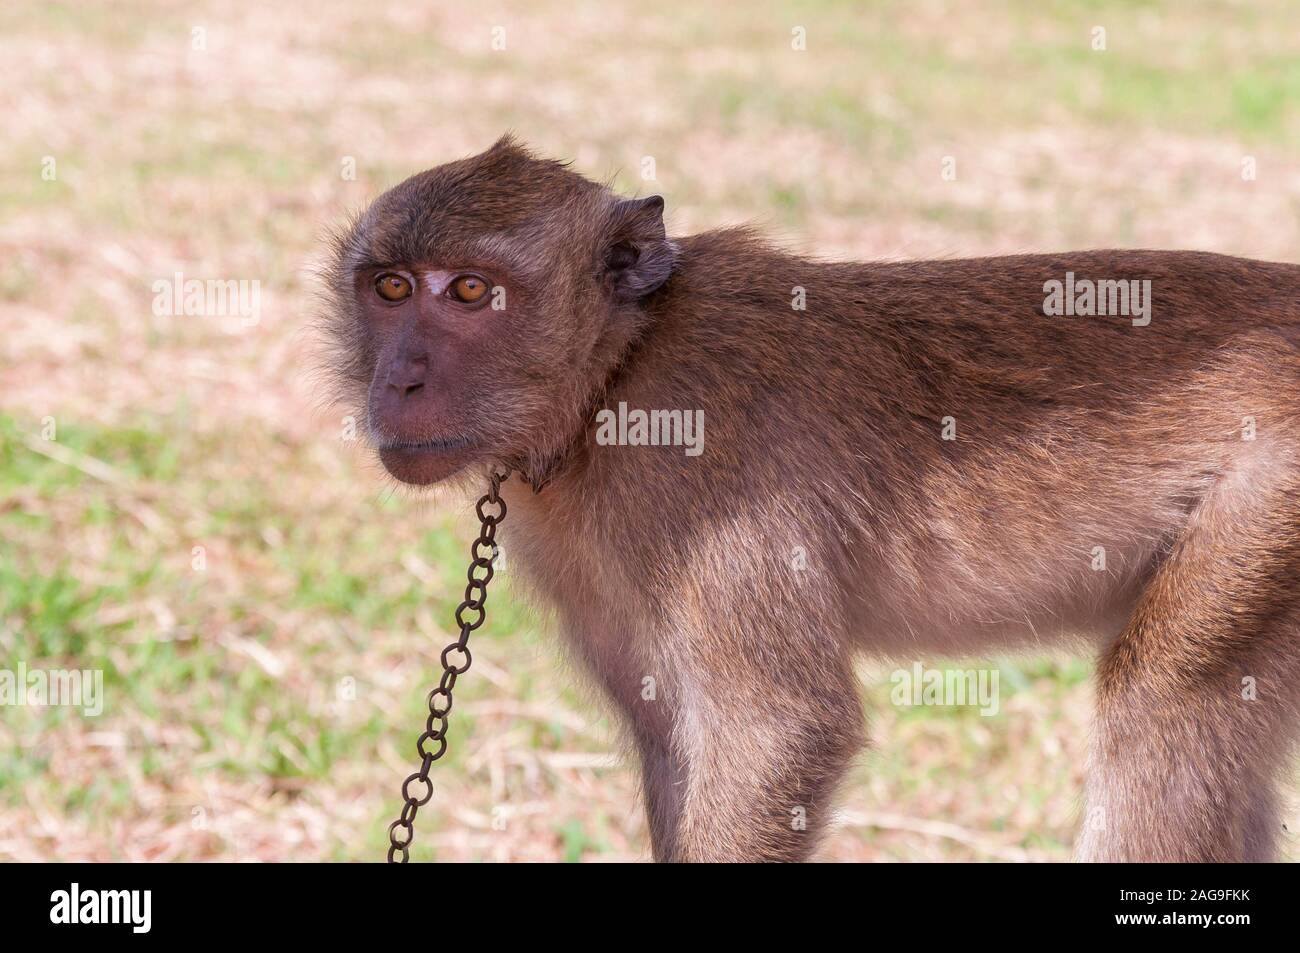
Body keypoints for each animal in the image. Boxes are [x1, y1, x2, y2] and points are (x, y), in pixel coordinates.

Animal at [322, 135, 1300, 862]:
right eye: (393, 287)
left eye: (472, 291)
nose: (398, 381)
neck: (615, 374)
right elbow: (674, 740)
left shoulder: (698, 475)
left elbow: (777, 731)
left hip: (1269, 494)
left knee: (1161, 701)